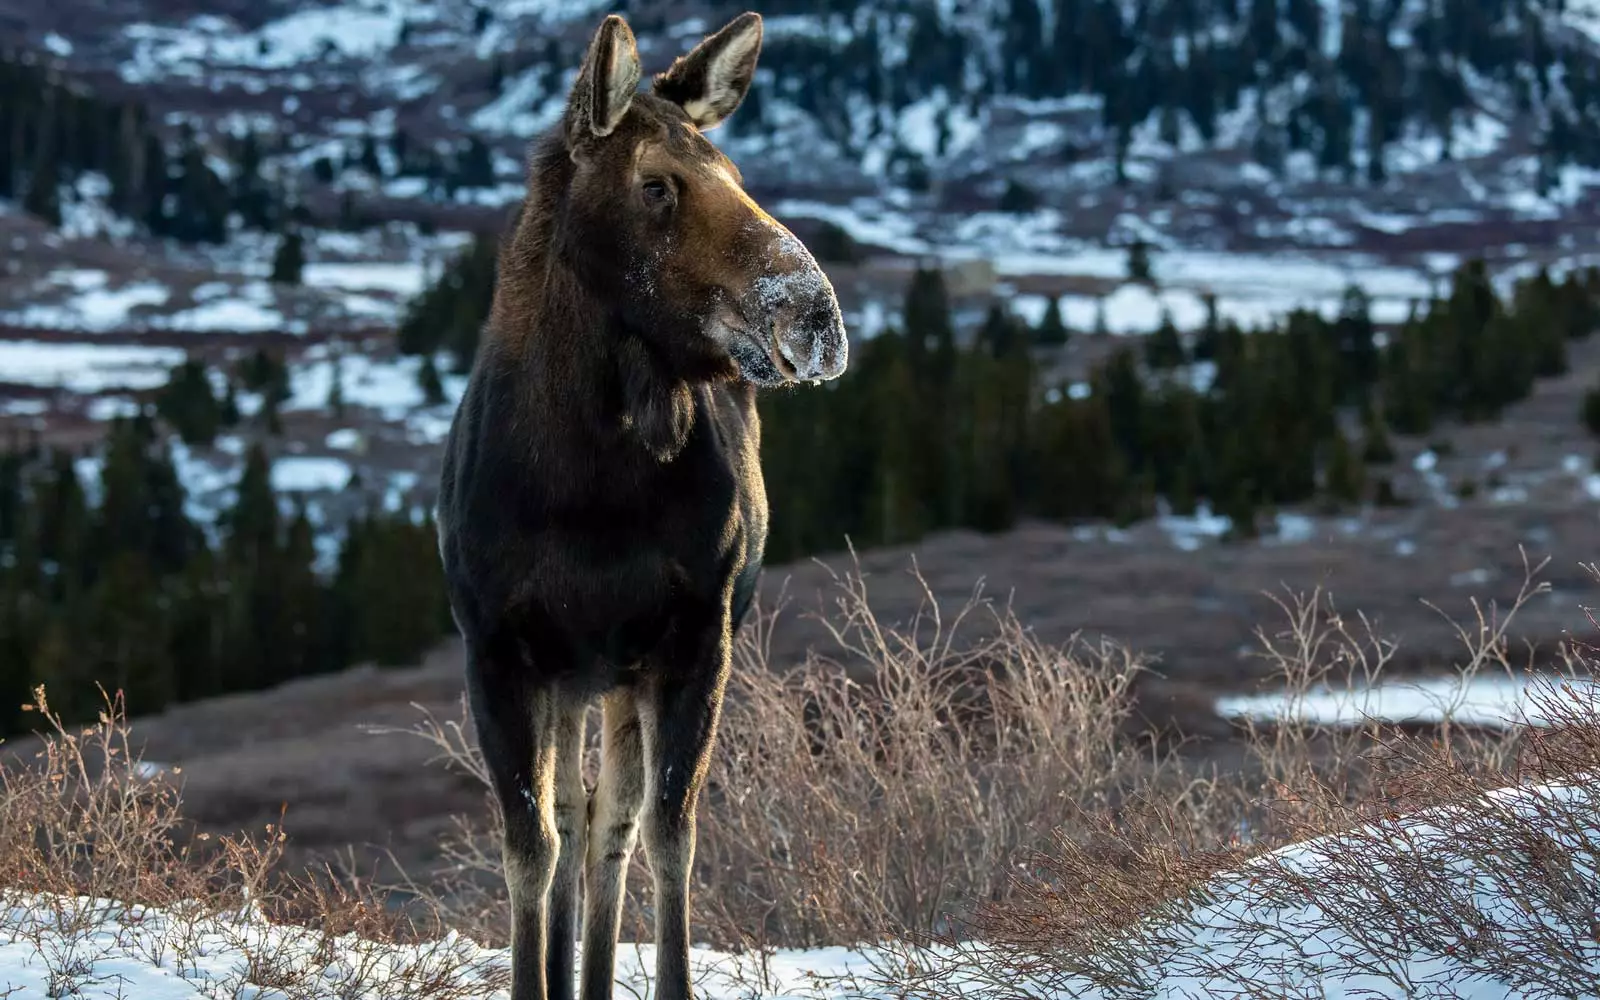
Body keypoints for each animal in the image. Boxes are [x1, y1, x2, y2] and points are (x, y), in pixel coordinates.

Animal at [428, 9, 851, 998]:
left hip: (615, 674)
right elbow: (529, 846)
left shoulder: (695, 634)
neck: (591, 486)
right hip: (573, 675)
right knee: (573, 817)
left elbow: (666, 833)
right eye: (657, 184)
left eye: (738, 177)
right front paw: (531, 981)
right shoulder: (496, 645)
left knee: (607, 822)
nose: (816, 315)